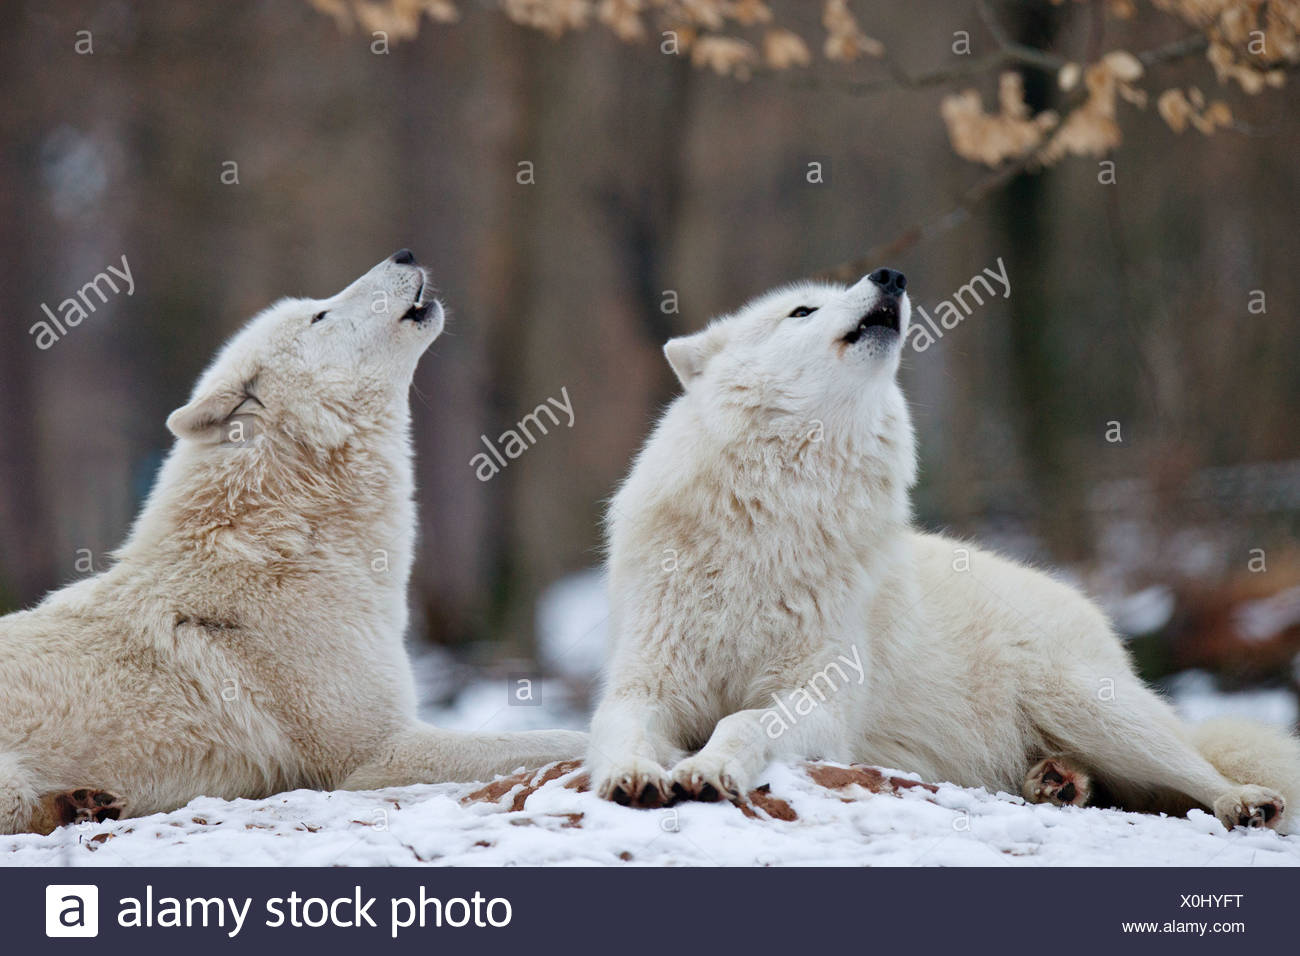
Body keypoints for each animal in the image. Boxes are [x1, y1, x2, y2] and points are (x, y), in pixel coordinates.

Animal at [0, 250, 585, 834]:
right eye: (320, 317)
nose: (405, 254)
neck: (291, 540)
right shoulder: (375, 754)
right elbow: (560, 736)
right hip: (10, 782)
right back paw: (78, 805)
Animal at [588, 267, 1300, 833]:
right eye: (802, 311)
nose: (890, 275)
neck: (775, 521)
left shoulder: (821, 700)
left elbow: (740, 724)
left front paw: (708, 769)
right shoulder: (644, 684)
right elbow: (615, 729)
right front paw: (631, 776)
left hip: (1091, 709)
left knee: (1198, 770)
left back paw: (1242, 801)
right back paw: (1056, 782)